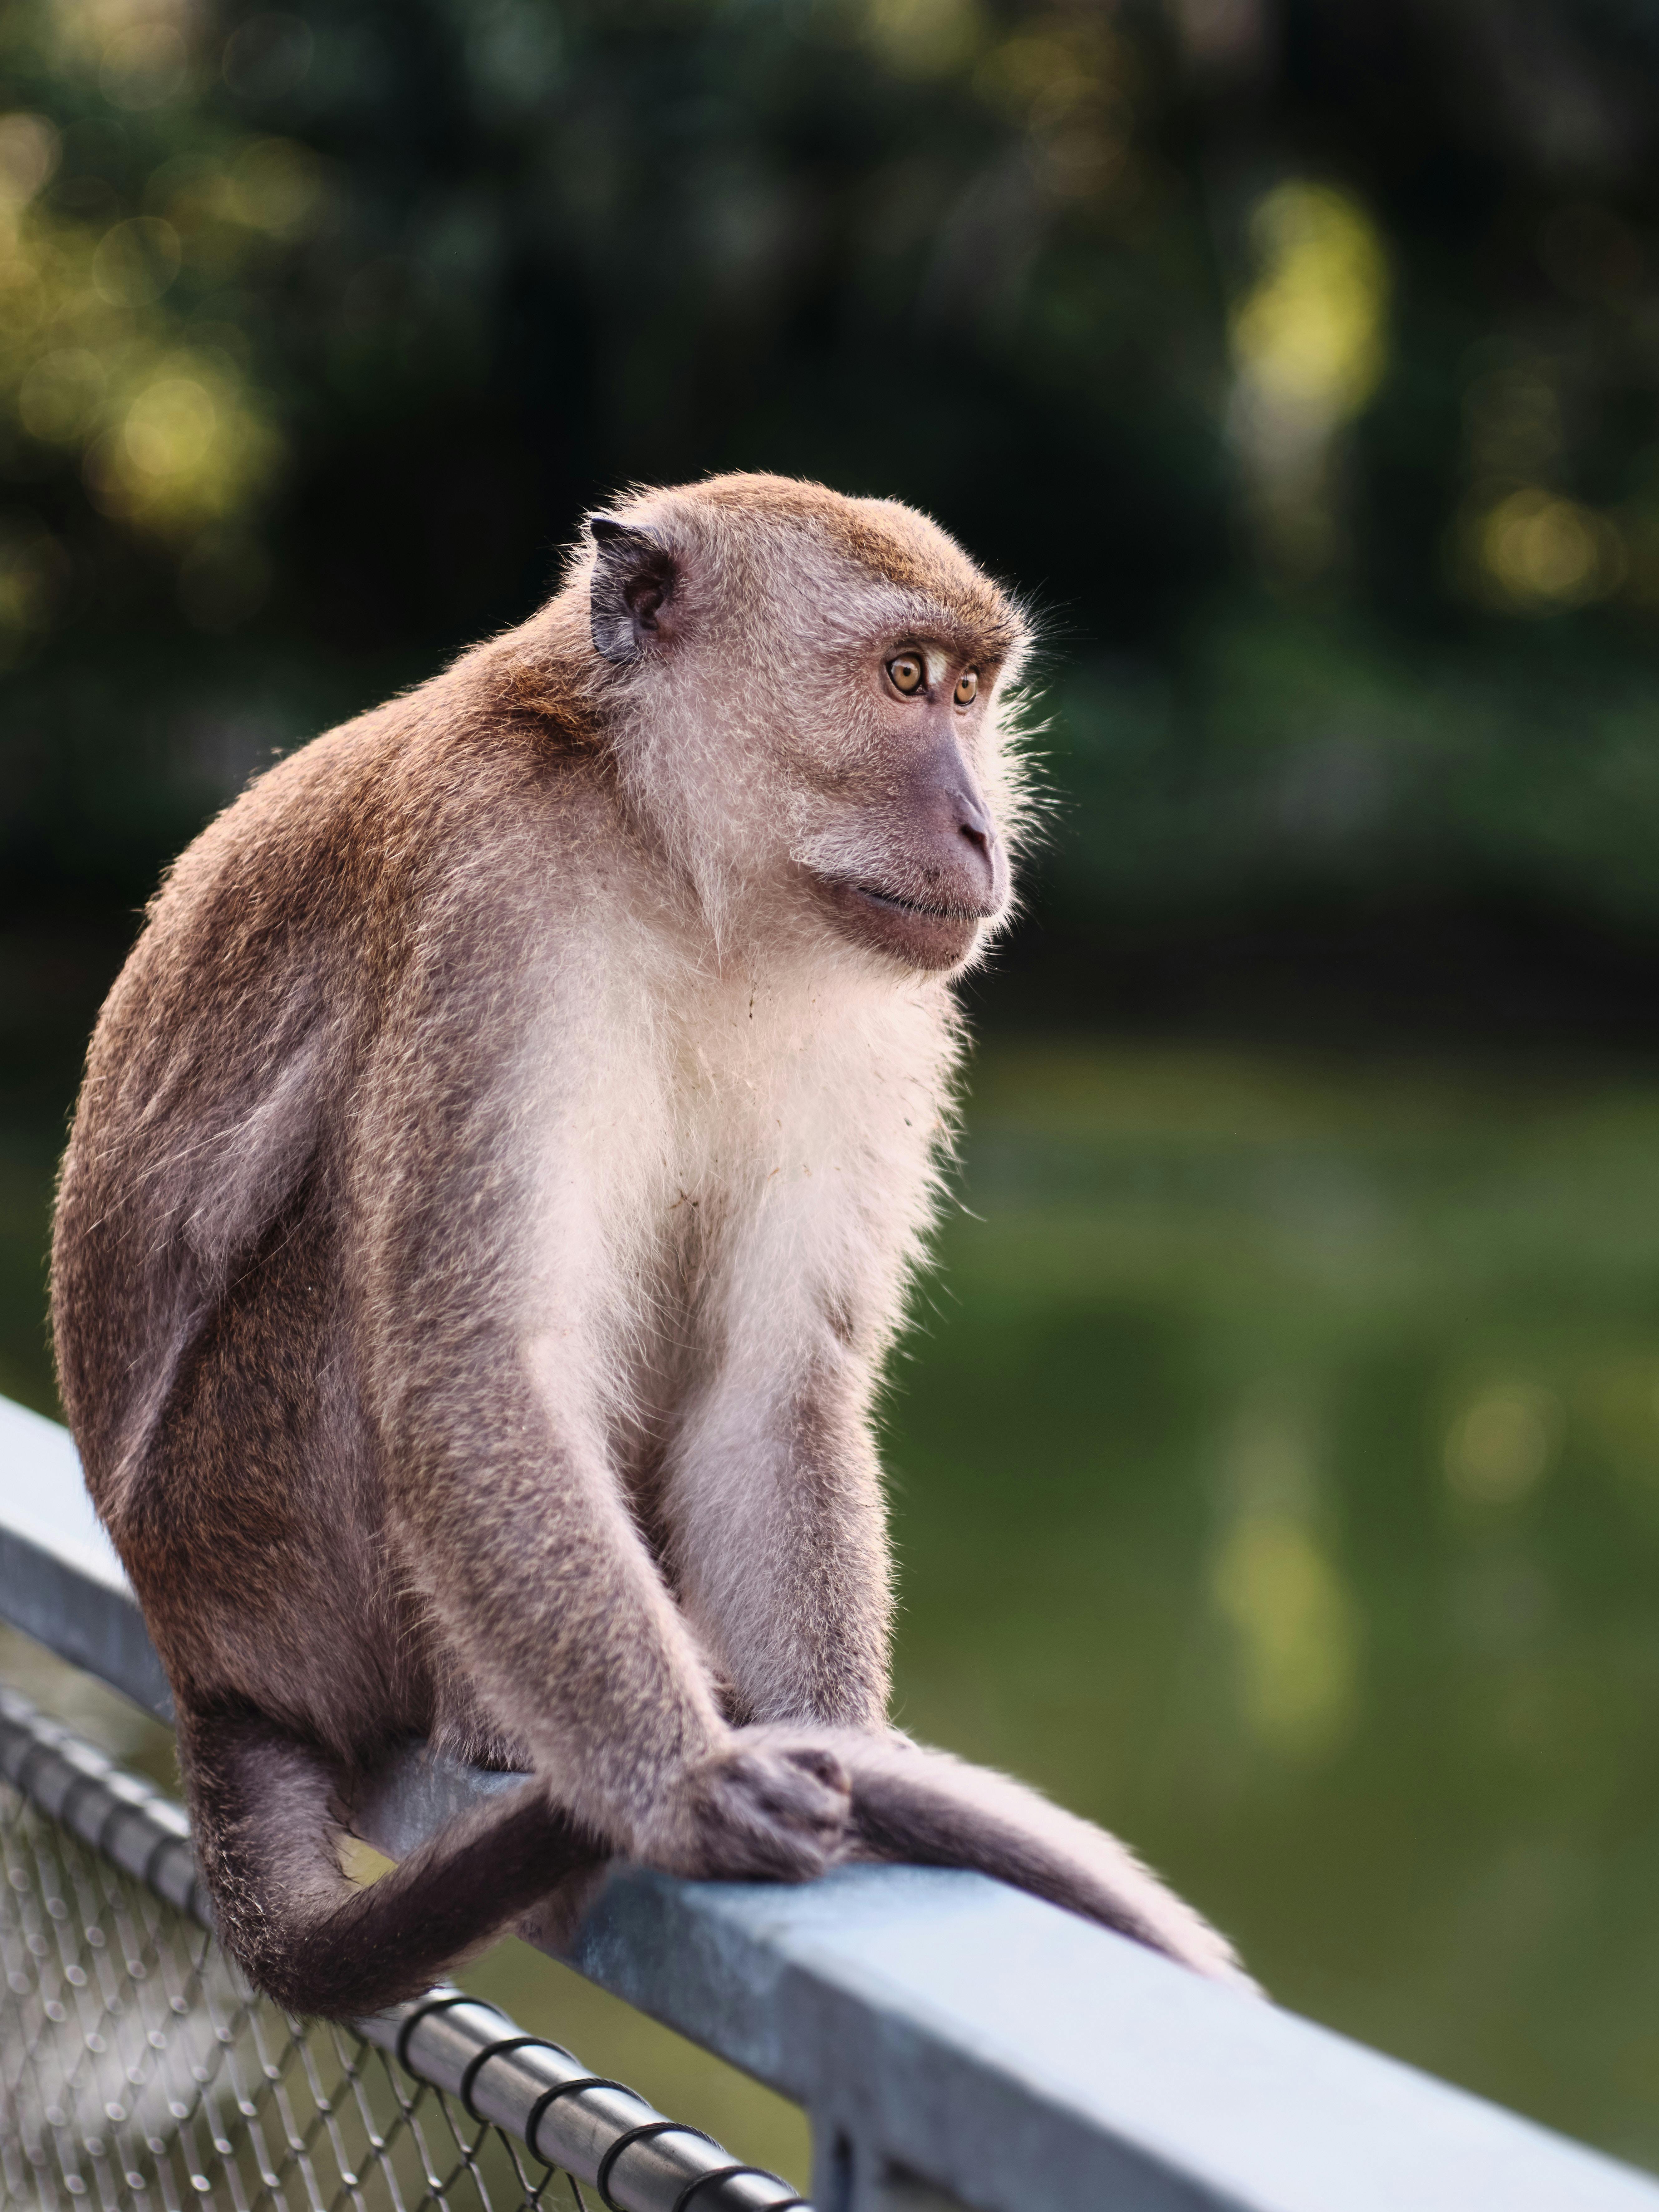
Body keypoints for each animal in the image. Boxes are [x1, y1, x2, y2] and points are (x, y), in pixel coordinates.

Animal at [50, 474, 1249, 2018]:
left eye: (971, 694)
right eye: (901, 679)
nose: (985, 833)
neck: (669, 859)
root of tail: (199, 1658)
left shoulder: (880, 1005)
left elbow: (768, 1381)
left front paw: (836, 1739)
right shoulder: (492, 902)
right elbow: (471, 1361)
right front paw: (680, 1781)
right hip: (253, 1538)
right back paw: (492, 1718)